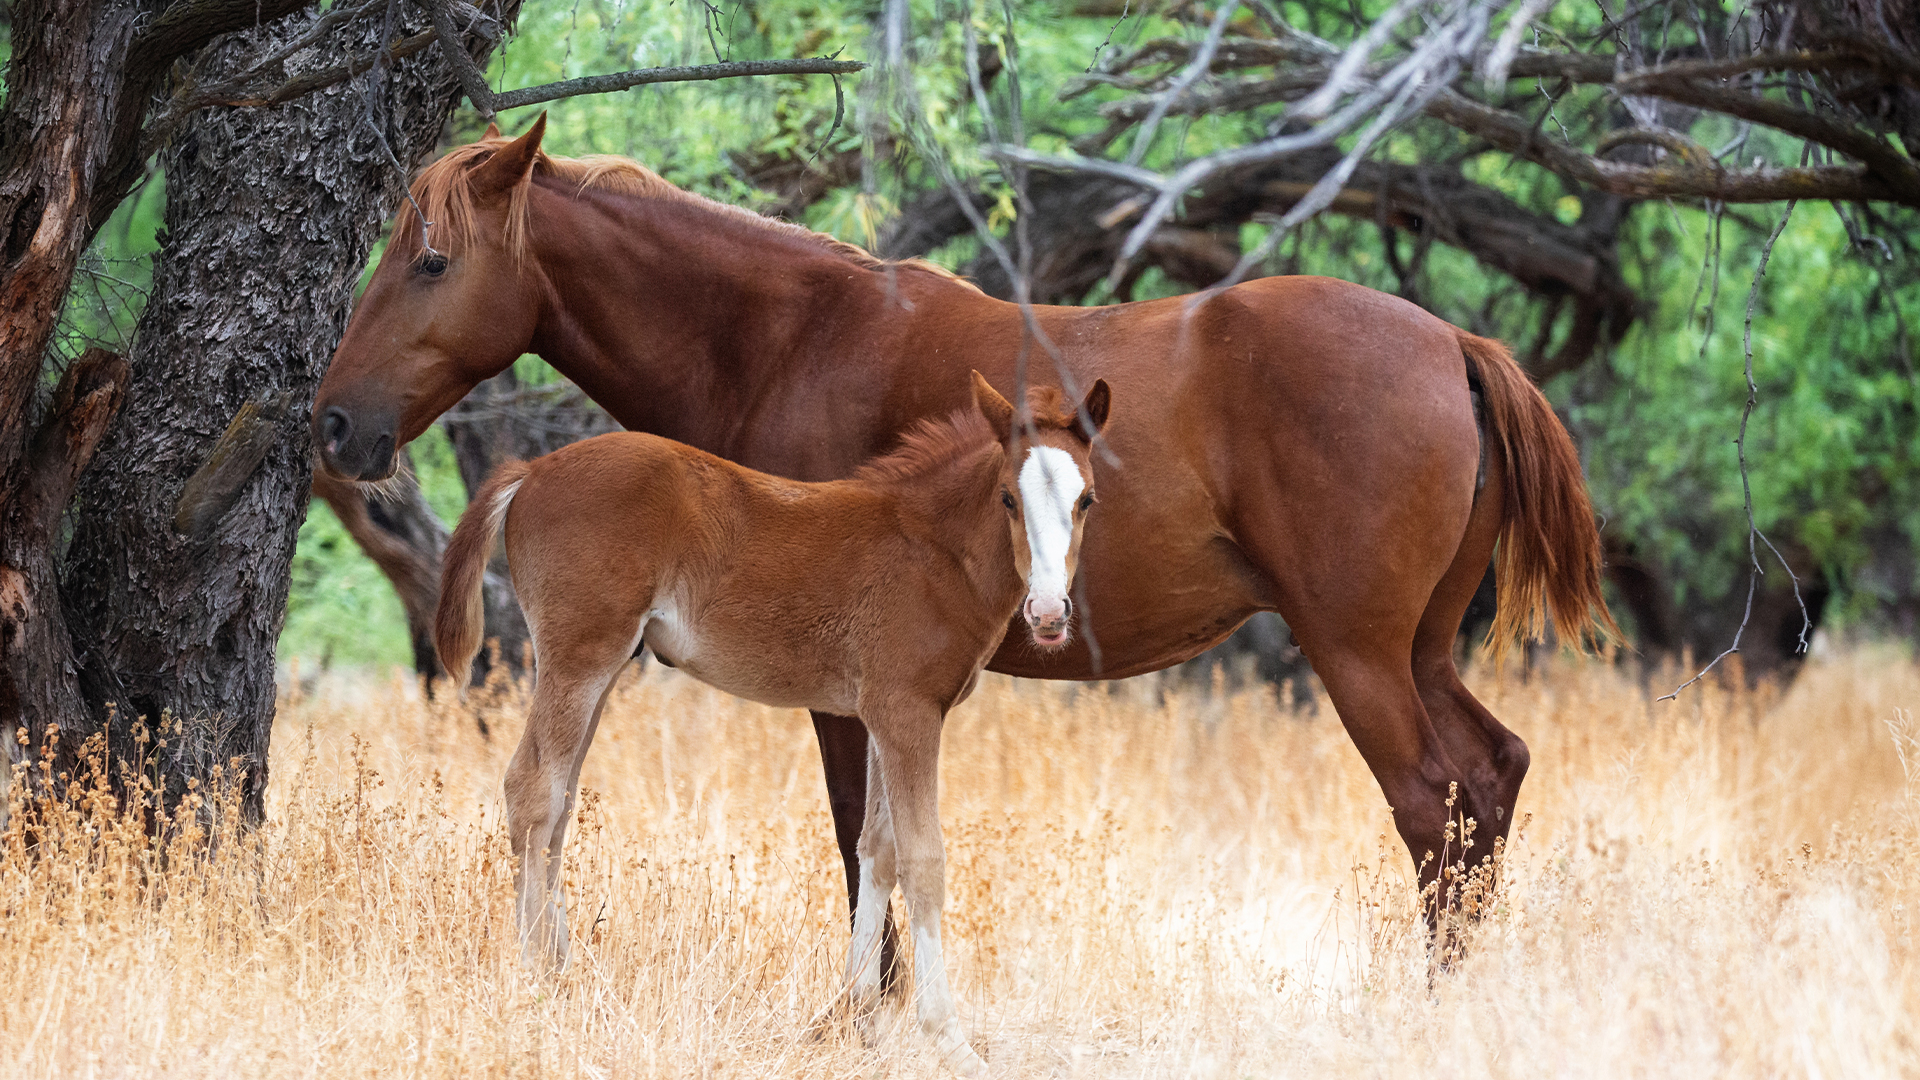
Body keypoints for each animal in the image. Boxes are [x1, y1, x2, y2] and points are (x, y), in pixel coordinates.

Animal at [317, 116, 1614, 935]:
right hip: (1421, 650)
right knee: (1489, 784)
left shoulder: (851, 693)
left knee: (1432, 812)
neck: (789, 336)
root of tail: (1454, 343)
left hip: (1357, 655)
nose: (334, 423)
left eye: (430, 261)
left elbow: (864, 845)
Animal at [435, 371, 1108, 1074]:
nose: (1049, 613)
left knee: (559, 804)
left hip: (599, 666)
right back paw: (534, 979)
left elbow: (876, 850)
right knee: (531, 793)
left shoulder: (881, 714)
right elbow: (923, 860)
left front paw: (856, 1017)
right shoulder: (909, 713)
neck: (934, 548)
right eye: (1008, 498)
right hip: (579, 657)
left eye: (1086, 499)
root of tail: (532, 469)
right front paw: (946, 1037)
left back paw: (567, 972)